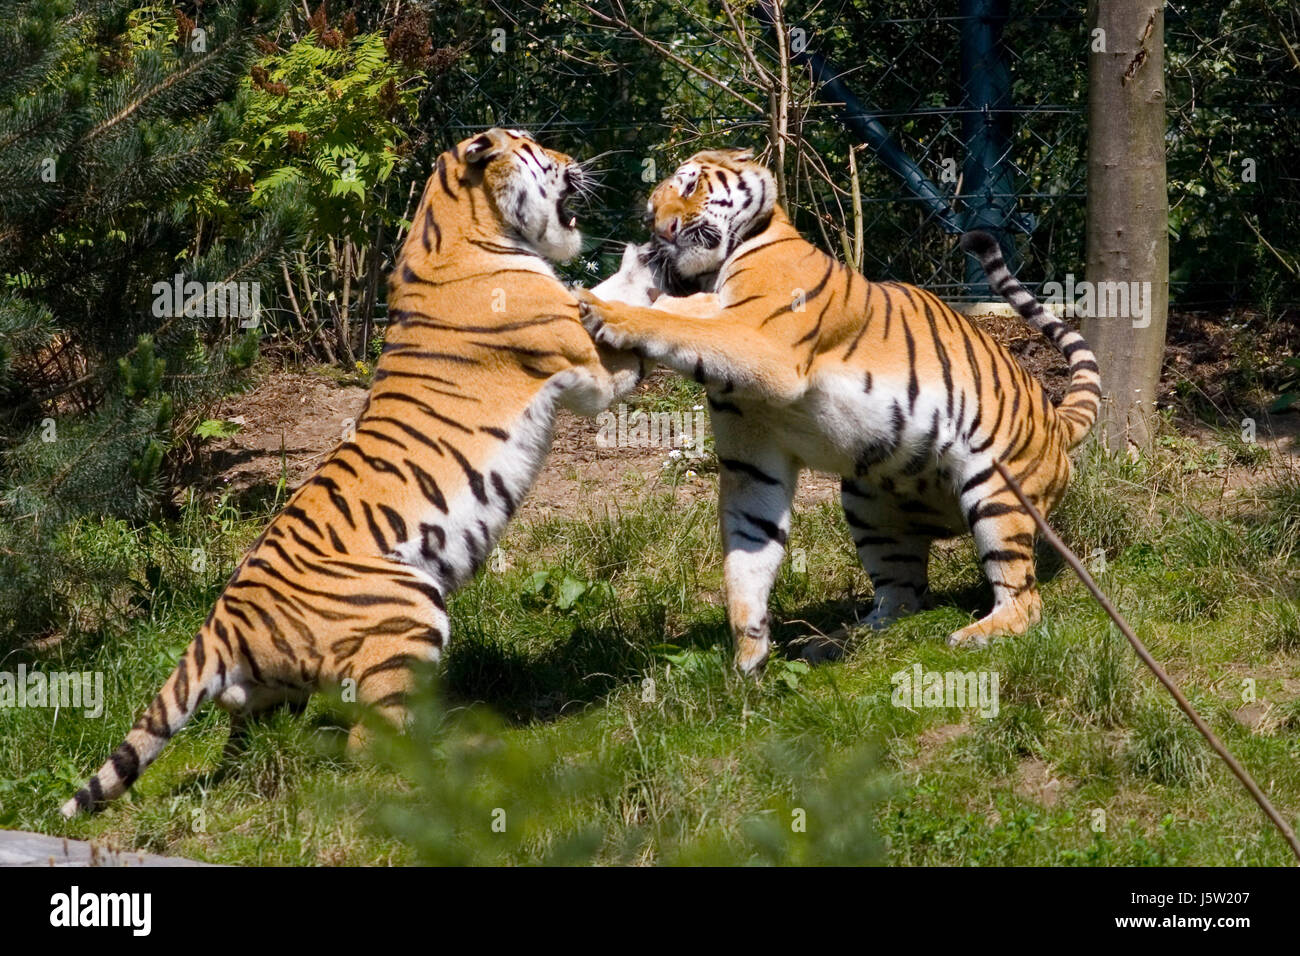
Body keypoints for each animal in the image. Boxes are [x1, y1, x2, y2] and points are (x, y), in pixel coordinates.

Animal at [62, 128, 643, 816]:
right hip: (411, 607)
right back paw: (451, 759)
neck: (454, 221)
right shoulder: (594, 370)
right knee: (371, 747)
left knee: (265, 743)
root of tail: (221, 621)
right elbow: (635, 303)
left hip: (270, 698)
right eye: (534, 147)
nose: (576, 163)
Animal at [575, 148, 1100, 673]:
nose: (659, 232)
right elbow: (747, 551)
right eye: (649, 214)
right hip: (869, 505)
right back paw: (838, 641)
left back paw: (978, 633)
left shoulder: (765, 346)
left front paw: (604, 309)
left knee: (1025, 600)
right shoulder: (752, 460)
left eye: (688, 187)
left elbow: (677, 322)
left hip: (997, 491)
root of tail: (1058, 421)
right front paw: (748, 652)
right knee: (903, 599)